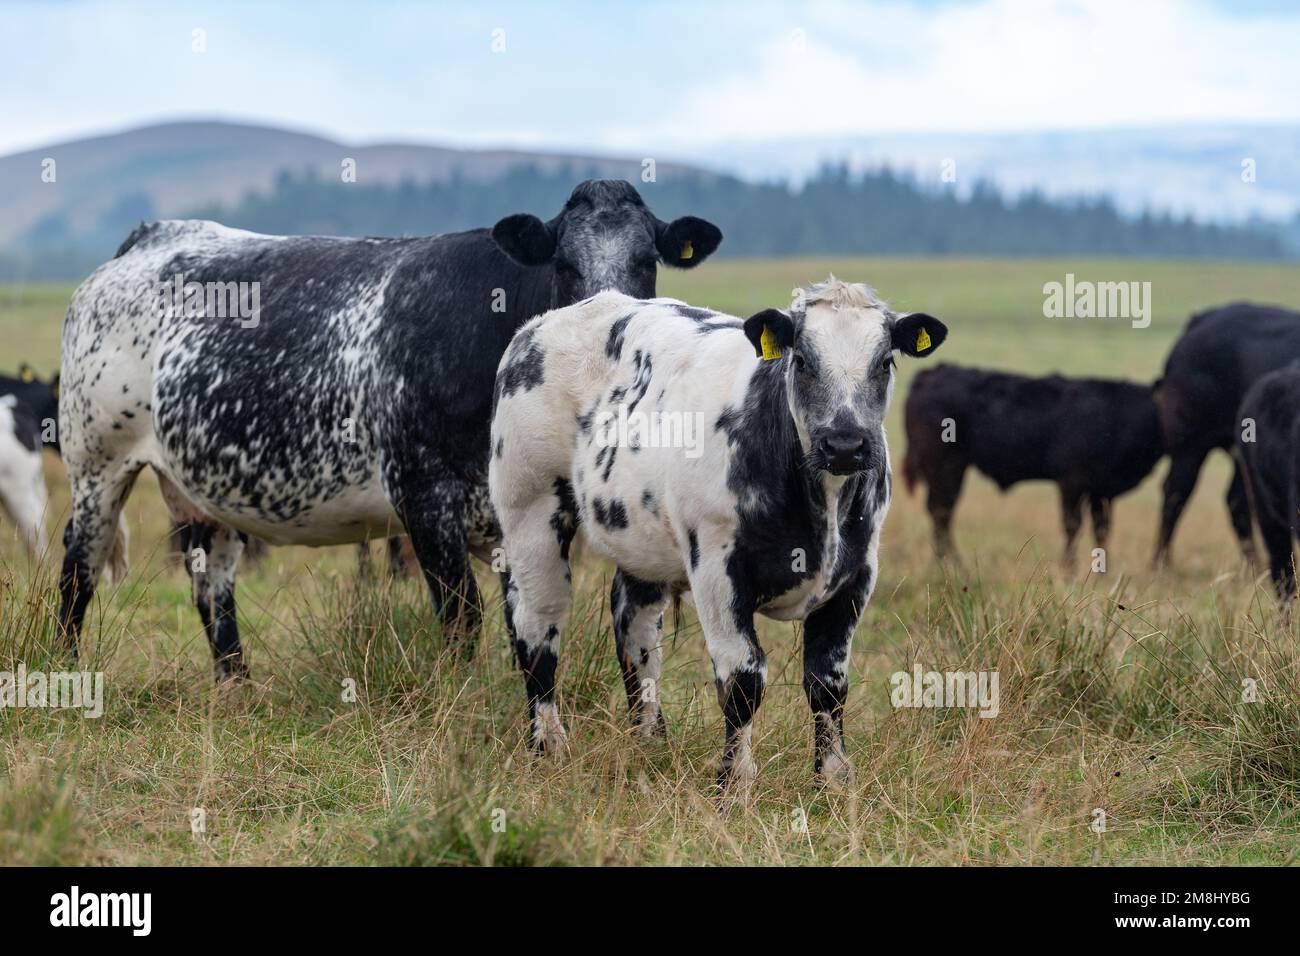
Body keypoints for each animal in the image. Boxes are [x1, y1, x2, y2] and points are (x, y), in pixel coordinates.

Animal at [57, 180, 722, 680]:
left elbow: (525, 620)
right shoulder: (422, 496)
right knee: (78, 569)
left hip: (200, 491)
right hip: (97, 463)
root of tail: (153, 236)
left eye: (647, 260)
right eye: (564, 262)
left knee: (211, 586)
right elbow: (461, 618)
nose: (613, 323)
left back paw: (236, 687)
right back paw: (65, 672)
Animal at [488, 278, 947, 789]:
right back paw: (547, 744)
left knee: (635, 628)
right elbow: (743, 680)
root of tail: (542, 326)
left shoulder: (856, 573)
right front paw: (735, 782)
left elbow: (827, 684)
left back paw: (650, 742)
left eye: (884, 362)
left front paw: (833, 780)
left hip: (639, 539)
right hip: (529, 510)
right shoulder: (717, 570)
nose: (844, 444)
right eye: (802, 361)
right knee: (537, 624)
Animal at [902, 365, 1163, 566]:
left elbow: (1102, 530)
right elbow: (1073, 526)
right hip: (946, 466)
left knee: (940, 512)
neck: (1118, 415)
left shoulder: (1101, 491)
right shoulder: (1072, 481)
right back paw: (951, 562)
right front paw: (1069, 569)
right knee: (941, 511)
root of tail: (932, 373)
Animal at [1154, 302, 1300, 568]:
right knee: (1175, 494)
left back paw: (1253, 567)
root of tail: (1202, 319)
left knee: (1236, 502)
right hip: (1190, 445)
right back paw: (1161, 564)